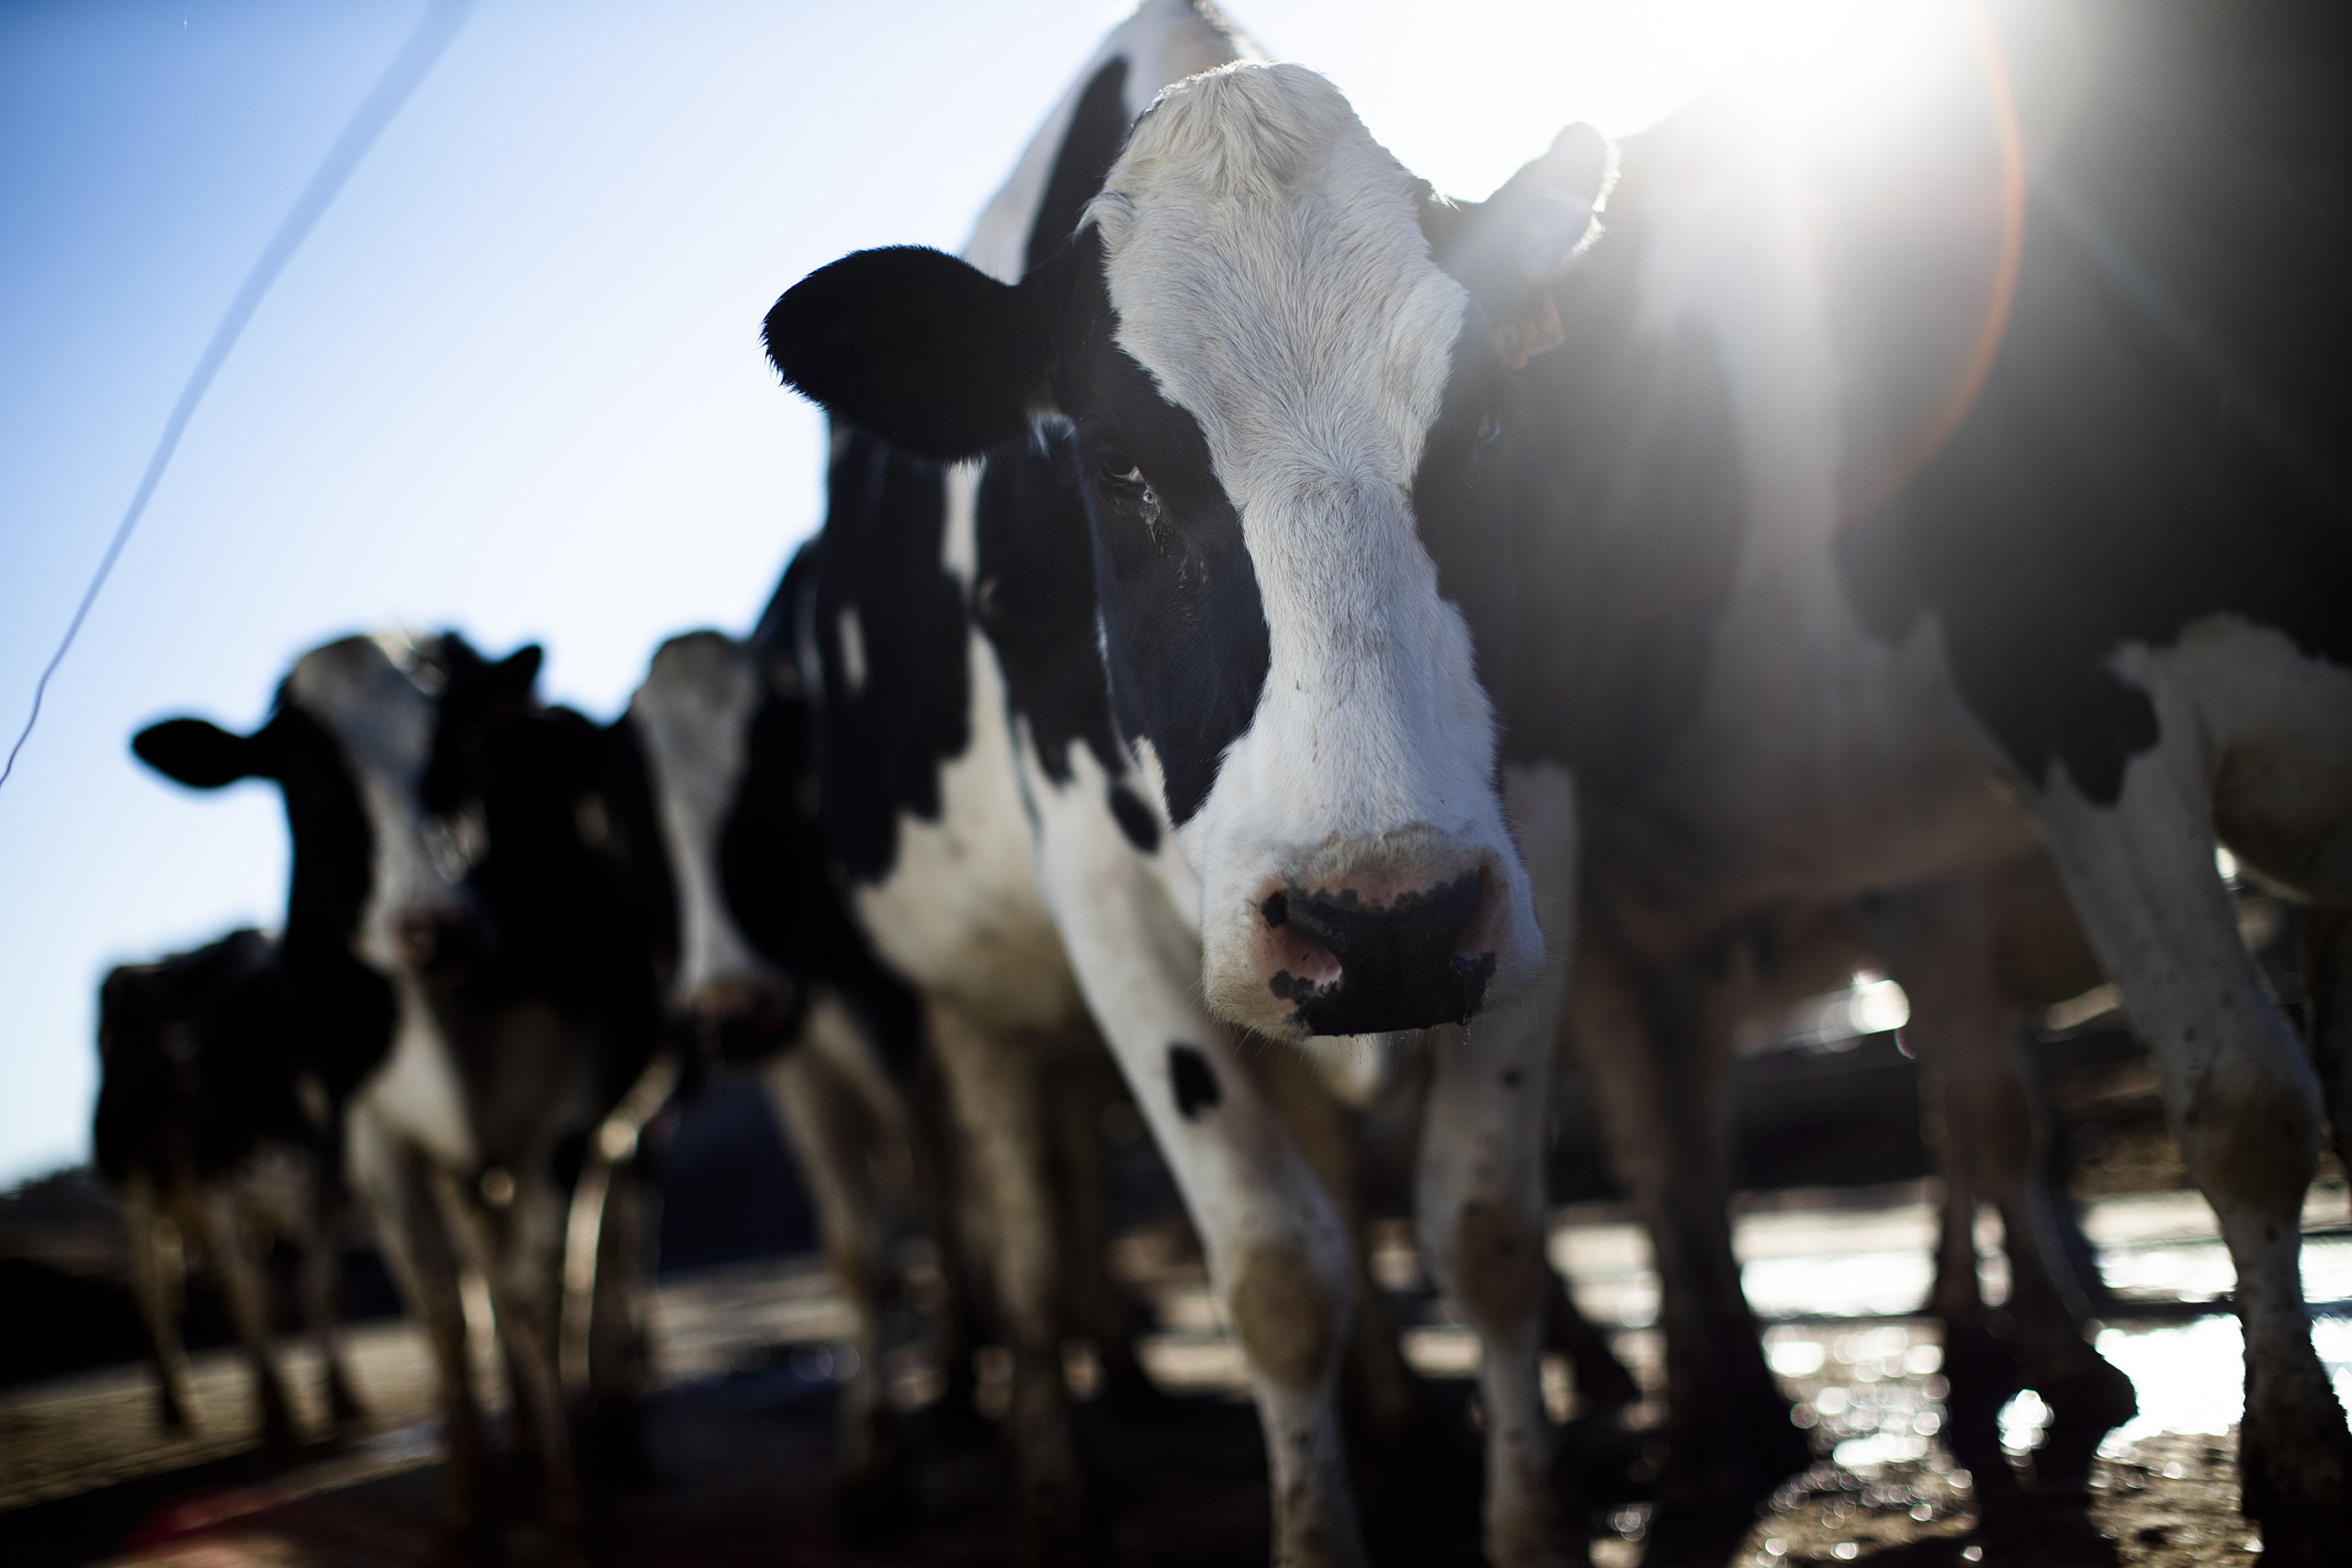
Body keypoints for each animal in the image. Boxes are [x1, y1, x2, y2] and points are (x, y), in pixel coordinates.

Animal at [93, 927, 365, 1445]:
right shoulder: (218, 1195)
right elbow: (252, 1296)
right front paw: (278, 1408)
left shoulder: (321, 1191)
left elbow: (321, 1287)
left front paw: (343, 1398)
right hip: (137, 1200)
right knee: (157, 1297)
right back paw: (175, 1405)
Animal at [132, 631, 666, 1549]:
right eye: (309, 781)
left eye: (461, 750)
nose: (436, 926)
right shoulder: (373, 1135)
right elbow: (444, 1310)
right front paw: (471, 1504)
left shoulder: (563, 1118)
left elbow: (536, 1295)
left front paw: (568, 1504)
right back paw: (525, 1444)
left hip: (618, 1129)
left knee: (599, 1267)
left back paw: (610, 1433)